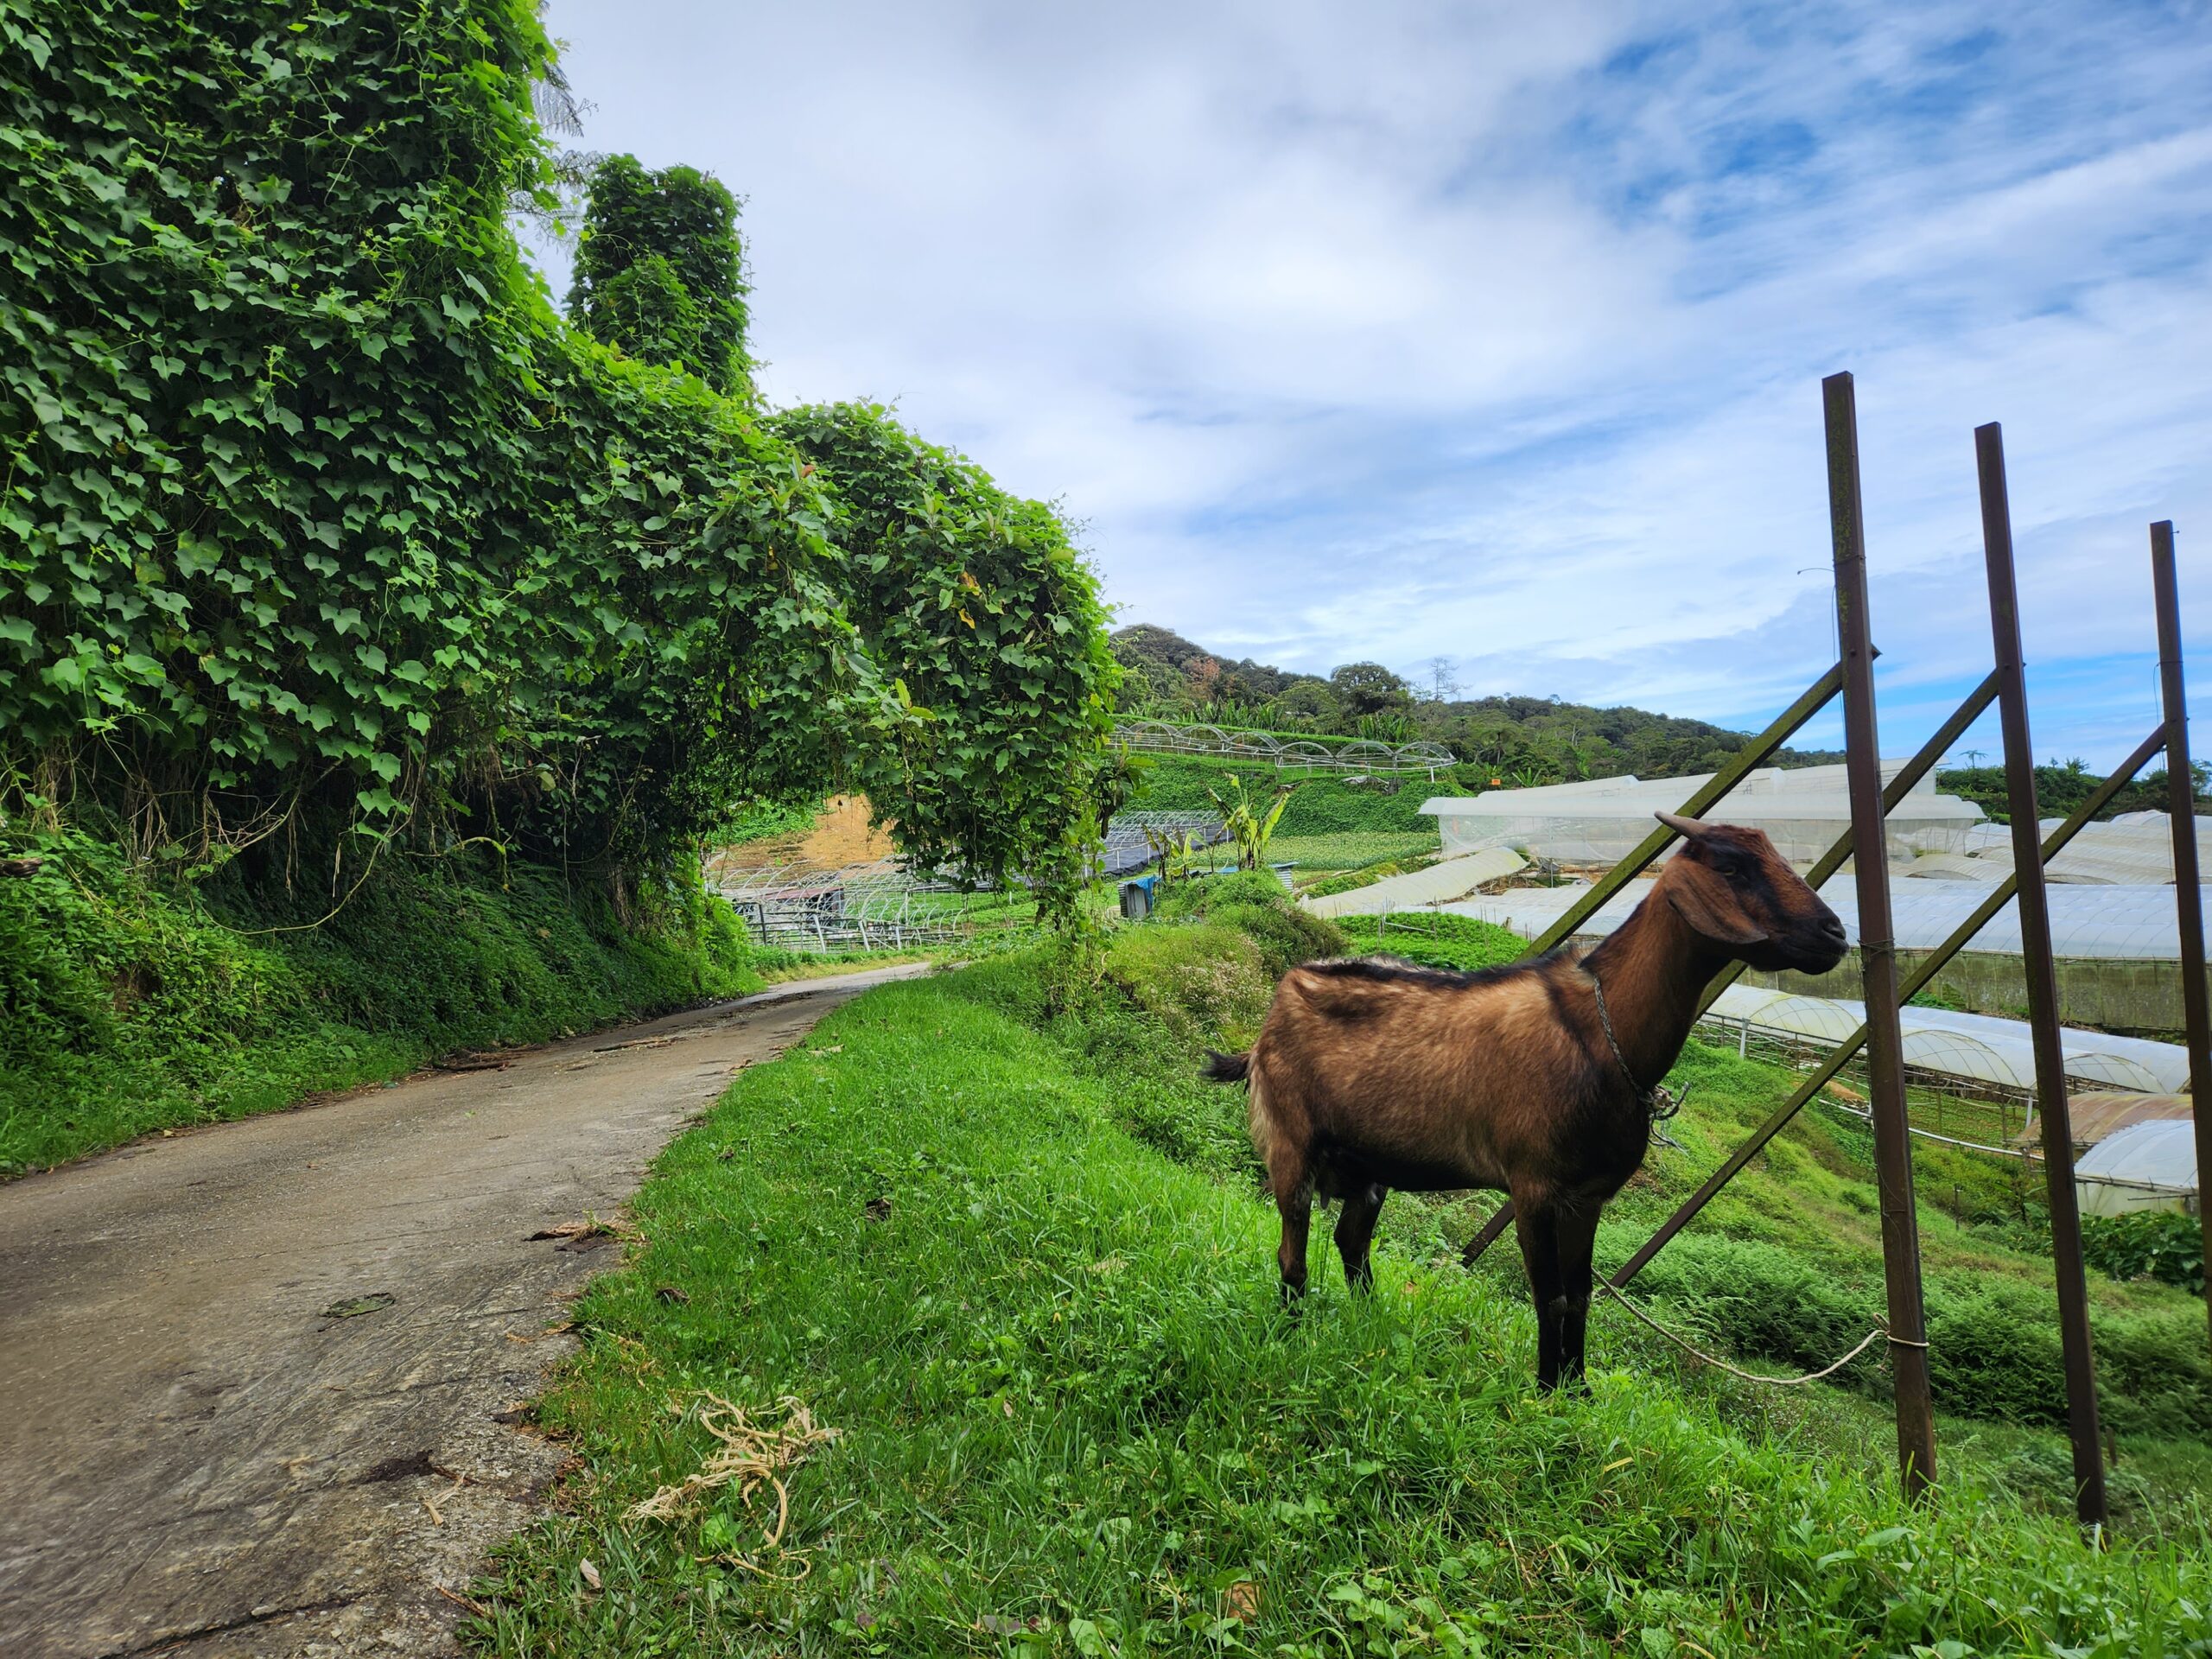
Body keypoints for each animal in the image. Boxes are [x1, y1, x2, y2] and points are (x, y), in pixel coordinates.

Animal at [1203, 811, 1849, 1389]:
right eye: (1732, 866)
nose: (1836, 936)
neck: (1601, 1034)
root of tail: (1266, 1026)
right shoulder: (1534, 1186)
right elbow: (1552, 1296)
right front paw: (1543, 1392)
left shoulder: (1588, 1195)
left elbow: (1582, 1295)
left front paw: (1578, 1390)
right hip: (1291, 1142)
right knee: (1292, 1249)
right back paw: (1293, 1333)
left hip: (1368, 1165)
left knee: (1352, 1243)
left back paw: (1370, 1328)